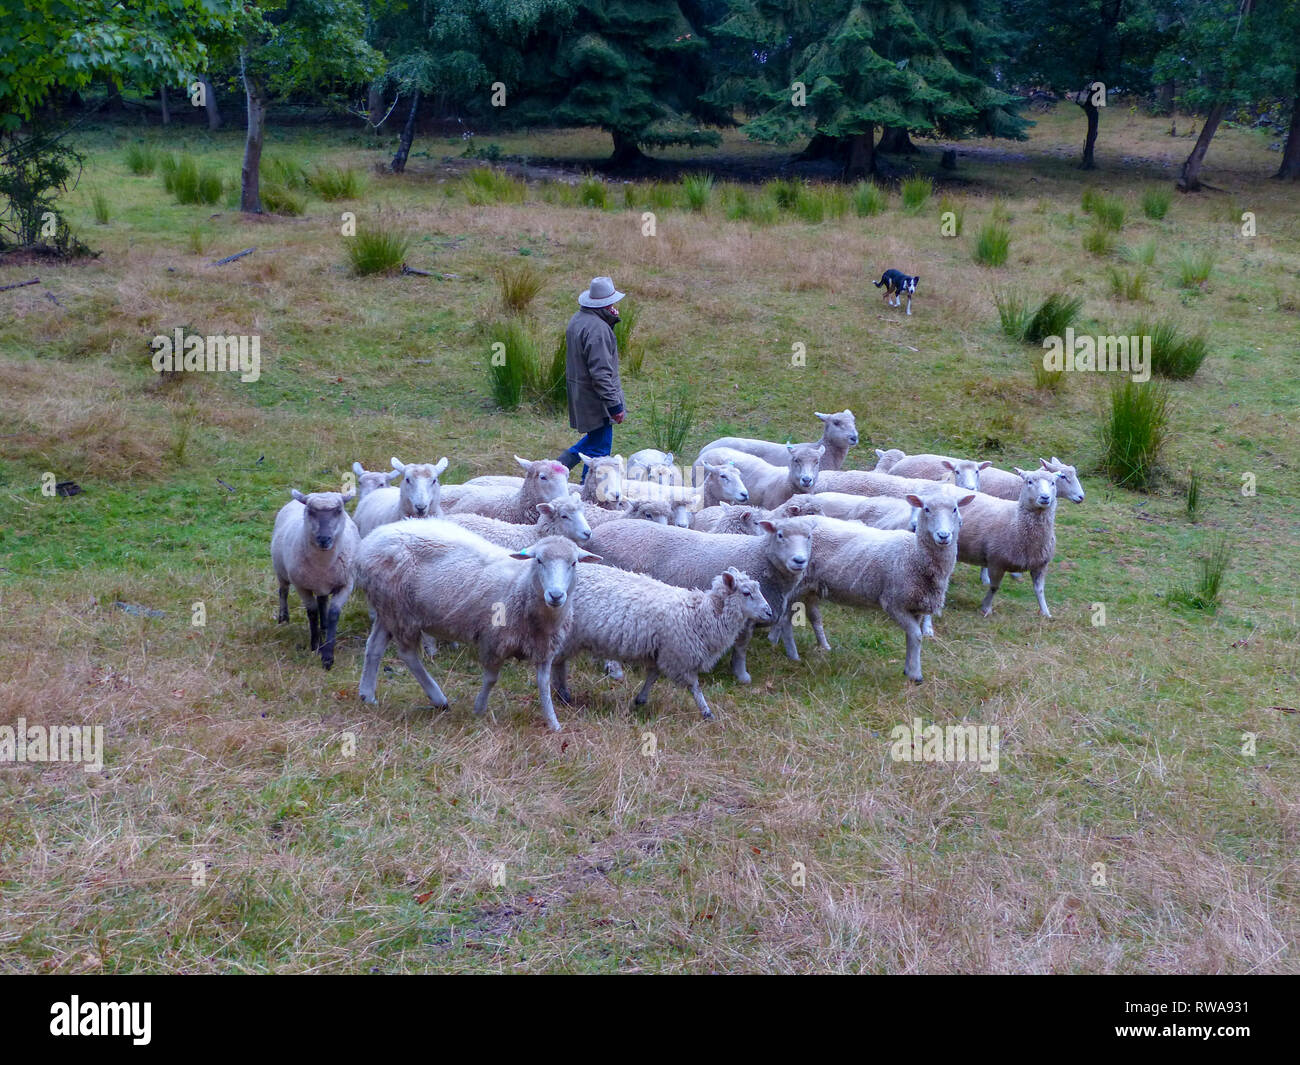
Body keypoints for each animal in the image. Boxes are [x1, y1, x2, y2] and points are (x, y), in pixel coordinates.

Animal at [271, 489, 360, 670]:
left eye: (339, 510)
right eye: (311, 511)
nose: (324, 539)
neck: (323, 564)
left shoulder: (346, 584)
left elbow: (333, 613)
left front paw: (328, 656)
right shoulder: (301, 586)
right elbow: (312, 613)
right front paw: (315, 647)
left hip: (322, 585)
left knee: (322, 601)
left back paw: (324, 627)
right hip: (281, 571)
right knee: (283, 590)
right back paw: (284, 617)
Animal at [356, 520, 600, 730]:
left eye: (574, 563)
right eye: (539, 560)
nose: (556, 595)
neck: (521, 586)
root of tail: (369, 540)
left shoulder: (546, 647)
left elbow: (543, 684)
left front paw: (553, 722)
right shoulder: (493, 640)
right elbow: (491, 679)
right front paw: (479, 710)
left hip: (388, 607)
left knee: (374, 646)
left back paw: (367, 695)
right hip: (401, 609)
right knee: (407, 654)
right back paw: (439, 698)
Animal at [553, 566, 773, 719]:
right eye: (746, 592)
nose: (770, 612)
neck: (701, 614)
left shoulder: (663, 652)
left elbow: (653, 675)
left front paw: (640, 700)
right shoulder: (679, 655)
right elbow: (694, 687)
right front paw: (707, 712)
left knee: (558, 663)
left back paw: (563, 695)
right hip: (566, 635)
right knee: (556, 664)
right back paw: (561, 694)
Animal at [586, 516, 814, 684]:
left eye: (810, 537)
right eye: (780, 535)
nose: (799, 561)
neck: (761, 556)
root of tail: (595, 534)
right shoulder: (745, 615)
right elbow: (741, 648)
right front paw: (742, 675)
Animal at [772, 488, 975, 681]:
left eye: (955, 509)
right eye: (926, 509)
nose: (943, 536)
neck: (914, 555)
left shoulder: (915, 605)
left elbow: (911, 637)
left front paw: (908, 668)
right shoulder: (894, 603)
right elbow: (916, 636)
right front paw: (915, 675)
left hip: (808, 586)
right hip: (795, 584)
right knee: (784, 619)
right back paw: (791, 653)